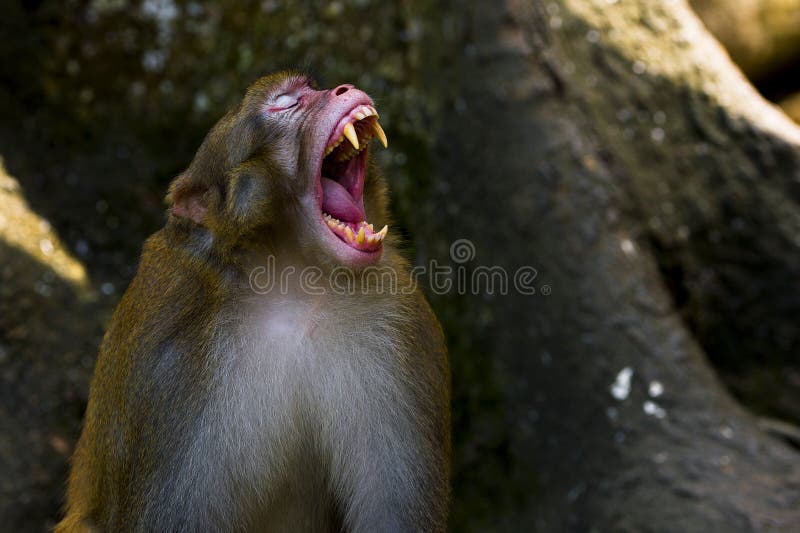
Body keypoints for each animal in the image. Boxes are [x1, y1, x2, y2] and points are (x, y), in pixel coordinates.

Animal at [56, 72, 450, 533]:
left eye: (312, 88)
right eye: (285, 103)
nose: (341, 89)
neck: (295, 285)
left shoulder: (400, 323)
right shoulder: (164, 361)